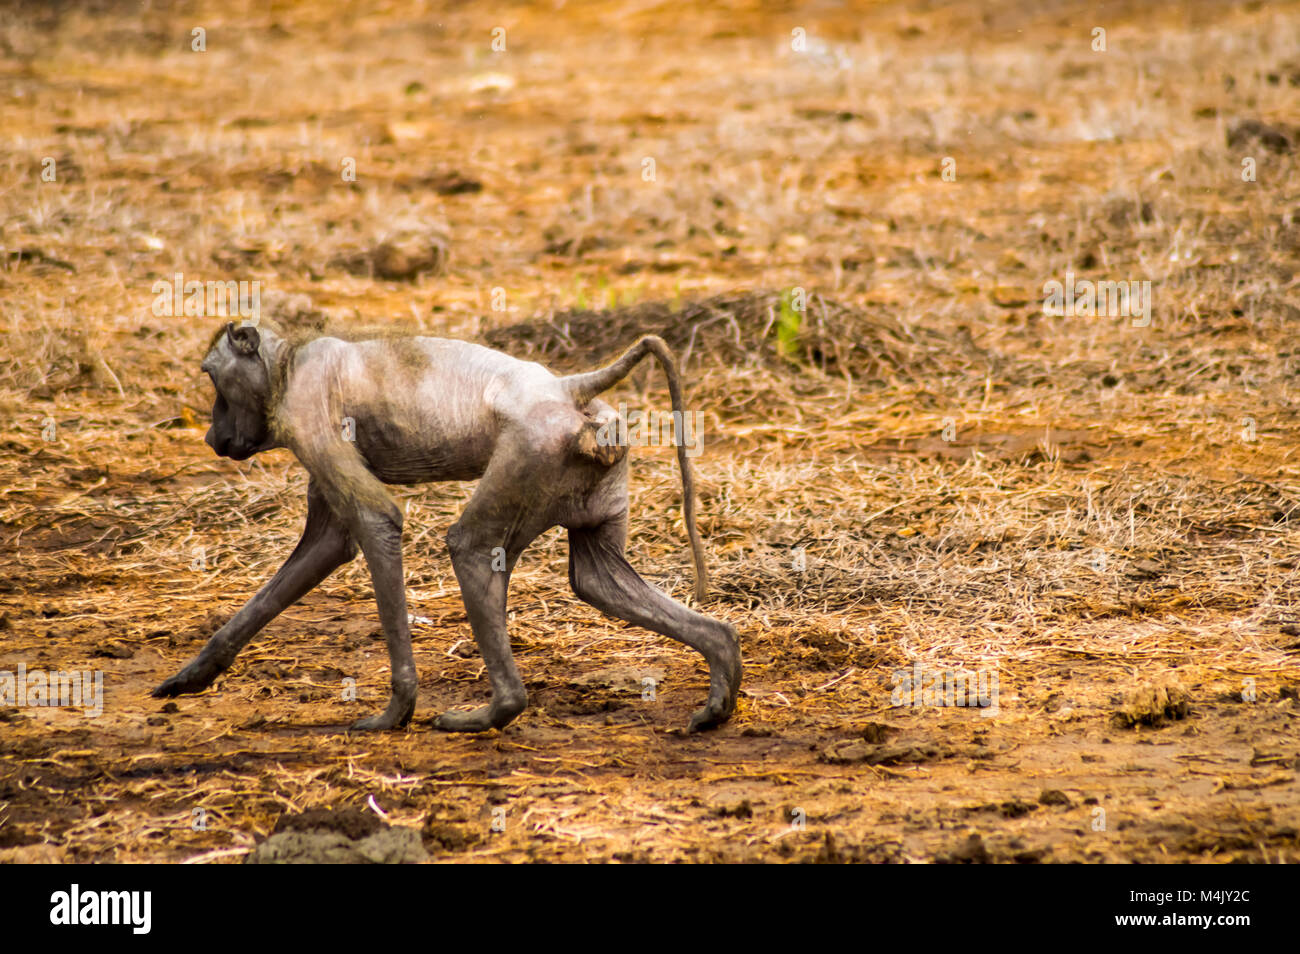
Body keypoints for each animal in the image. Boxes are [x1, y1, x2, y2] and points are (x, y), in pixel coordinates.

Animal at [153, 320, 742, 734]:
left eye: (212, 378)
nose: (211, 435)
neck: (286, 363)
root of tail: (567, 388)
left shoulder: (305, 405)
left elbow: (377, 521)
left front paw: (397, 710)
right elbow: (327, 545)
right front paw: (196, 673)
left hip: (534, 448)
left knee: (472, 548)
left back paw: (500, 709)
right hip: (593, 460)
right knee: (598, 581)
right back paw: (720, 665)